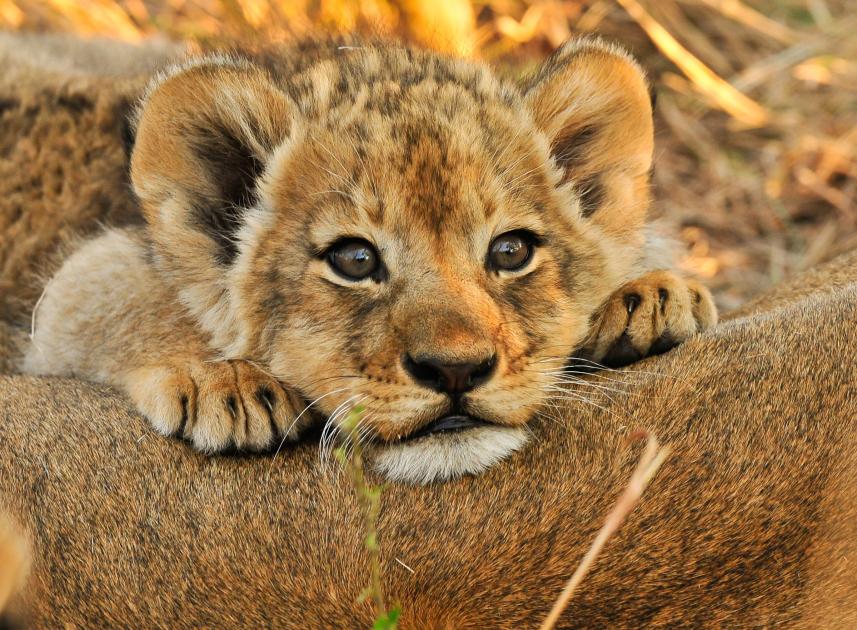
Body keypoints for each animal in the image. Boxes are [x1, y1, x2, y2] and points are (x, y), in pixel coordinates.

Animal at [12, 34, 715, 483]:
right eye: (353, 259)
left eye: (511, 250)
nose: (456, 370)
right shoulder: (69, 293)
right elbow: (127, 294)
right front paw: (224, 381)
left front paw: (653, 294)